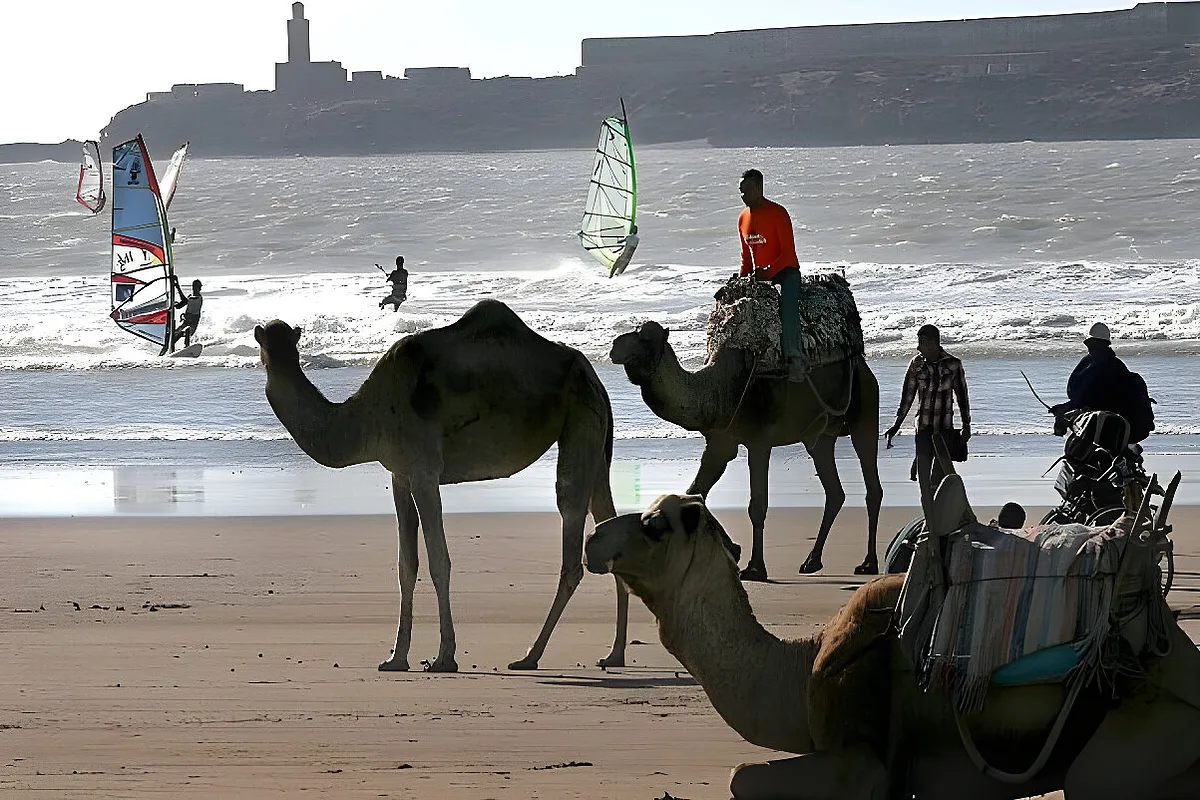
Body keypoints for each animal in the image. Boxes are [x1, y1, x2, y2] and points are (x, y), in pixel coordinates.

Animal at [255, 299, 628, 672]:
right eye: (267, 344)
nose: (270, 362)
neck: (366, 417)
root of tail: (593, 375)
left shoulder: (424, 470)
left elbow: (439, 560)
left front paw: (444, 656)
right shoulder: (400, 474)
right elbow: (406, 565)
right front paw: (396, 657)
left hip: (579, 416)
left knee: (571, 532)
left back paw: (530, 656)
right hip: (594, 437)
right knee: (607, 518)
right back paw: (614, 653)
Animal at [584, 492, 1200, 800]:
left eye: (655, 525)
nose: (592, 541)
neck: (800, 671)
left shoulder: (861, 763)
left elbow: (742, 778)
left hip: (1134, 744)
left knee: (1092, 780)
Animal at [610, 320, 883, 579]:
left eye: (644, 339)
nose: (614, 347)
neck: (720, 389)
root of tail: (862, 363)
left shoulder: (759, 442)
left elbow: (757, 505)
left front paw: (754, 568)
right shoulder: (720, 443)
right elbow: (695, 492)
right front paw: (735, 550)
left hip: (865, 408)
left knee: (872, 483)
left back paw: (868, 564)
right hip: (820, 437)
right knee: (834, 490)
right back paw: (812, 561)